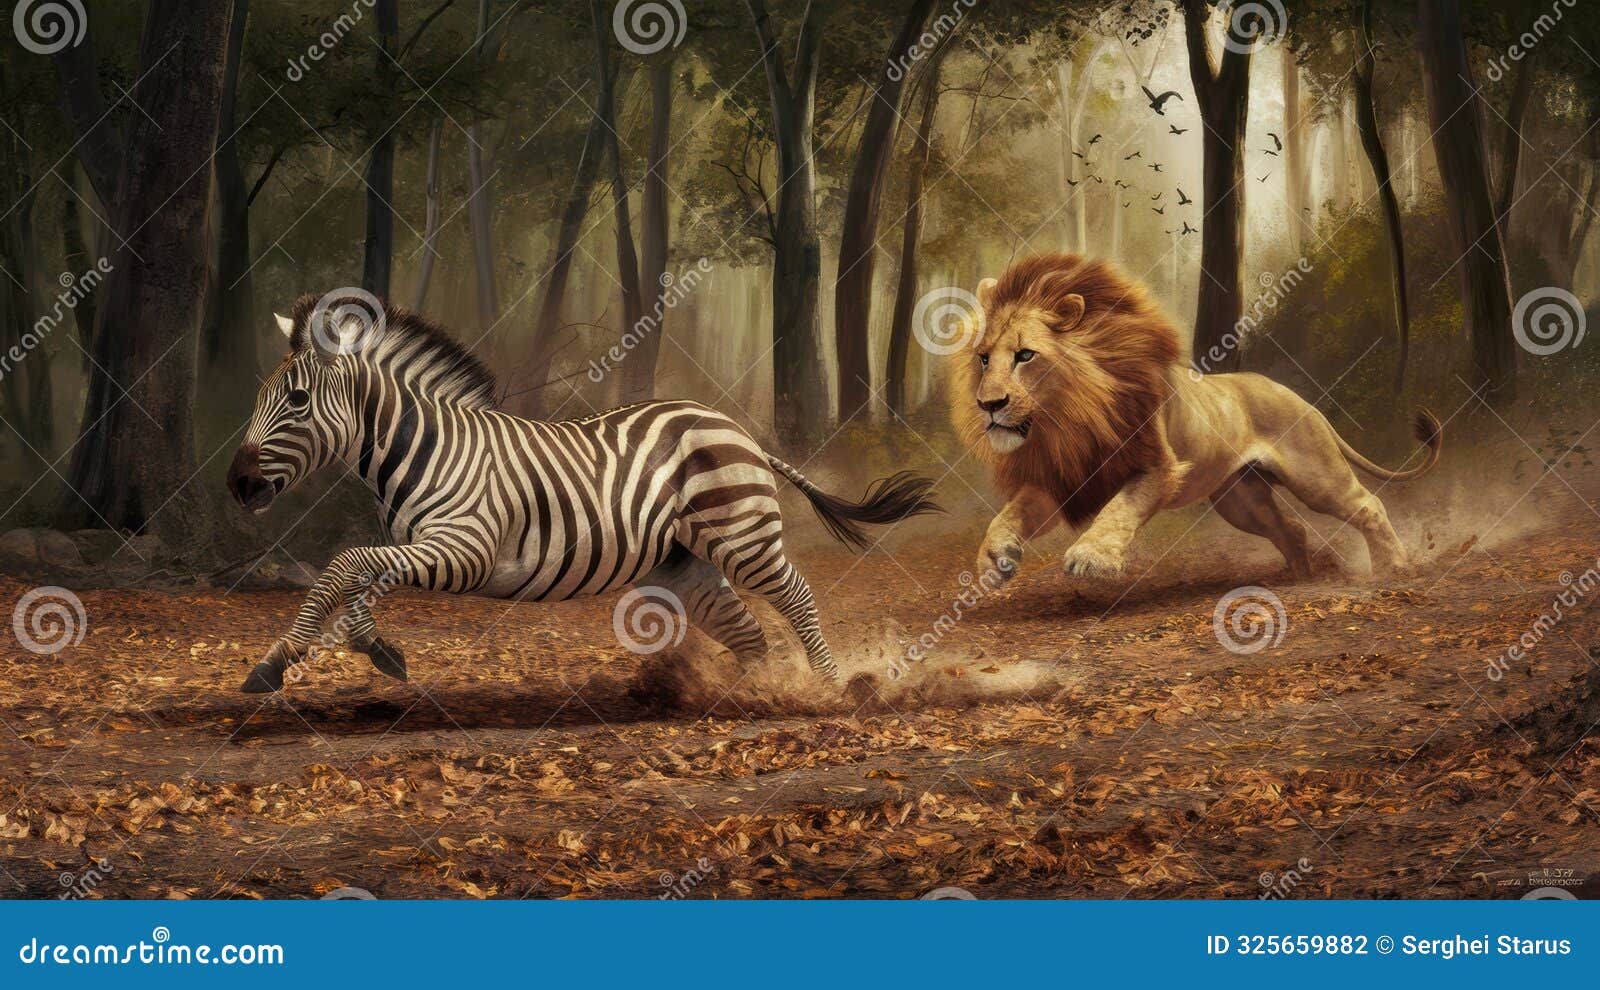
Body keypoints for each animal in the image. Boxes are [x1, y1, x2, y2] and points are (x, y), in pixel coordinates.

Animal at [225, 292, 940, 694]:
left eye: (296, 400)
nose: (237, 485)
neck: (427, 446)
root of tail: (736, 427)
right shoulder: (418, 546)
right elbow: (353, 577)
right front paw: (369, 650)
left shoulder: (467, 549)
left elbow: (343, 565)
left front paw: (285, 662)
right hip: (683, 563)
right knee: (748, 634)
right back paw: (739, 696)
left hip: (743, 535)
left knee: (795, 596)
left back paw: (830, 688)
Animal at [949, 252, 1441, 584]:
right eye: (984, 359)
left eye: (1025, 356)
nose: (988, 404)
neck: (1068, 418)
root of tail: (1304, 400)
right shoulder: (1063, 479)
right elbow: (1009, 513)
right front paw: (994, 557)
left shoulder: (1157, 466)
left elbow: (1119, 510)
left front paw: (1090, 557)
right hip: (1241, 498)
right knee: (1292, 527)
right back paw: (1301, 576)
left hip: (1314, 474)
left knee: (1368, 505)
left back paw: (1393, 566)